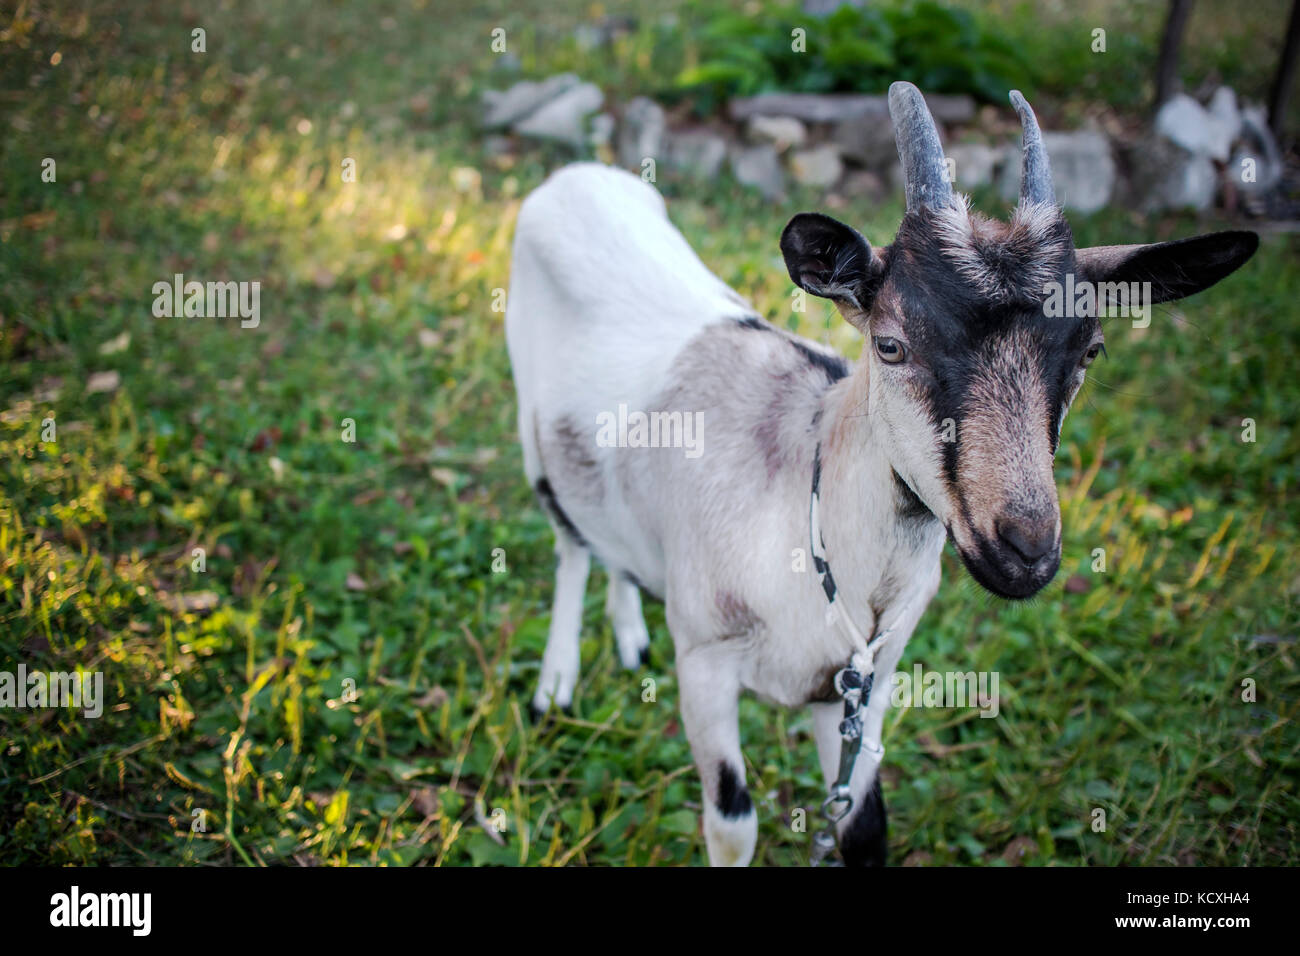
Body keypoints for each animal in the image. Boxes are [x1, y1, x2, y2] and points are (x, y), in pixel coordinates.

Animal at [504, 82, 1258, 866]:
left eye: (1091, 352)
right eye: (890, 344)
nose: (1024, 549)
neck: (802, 502)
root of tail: (579, 174)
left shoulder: (862, 688)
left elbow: (863, 821)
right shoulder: (706, 665)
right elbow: (733, 823)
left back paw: (628, 632)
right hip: (530, 429)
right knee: (568, 541)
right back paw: (556, 682)